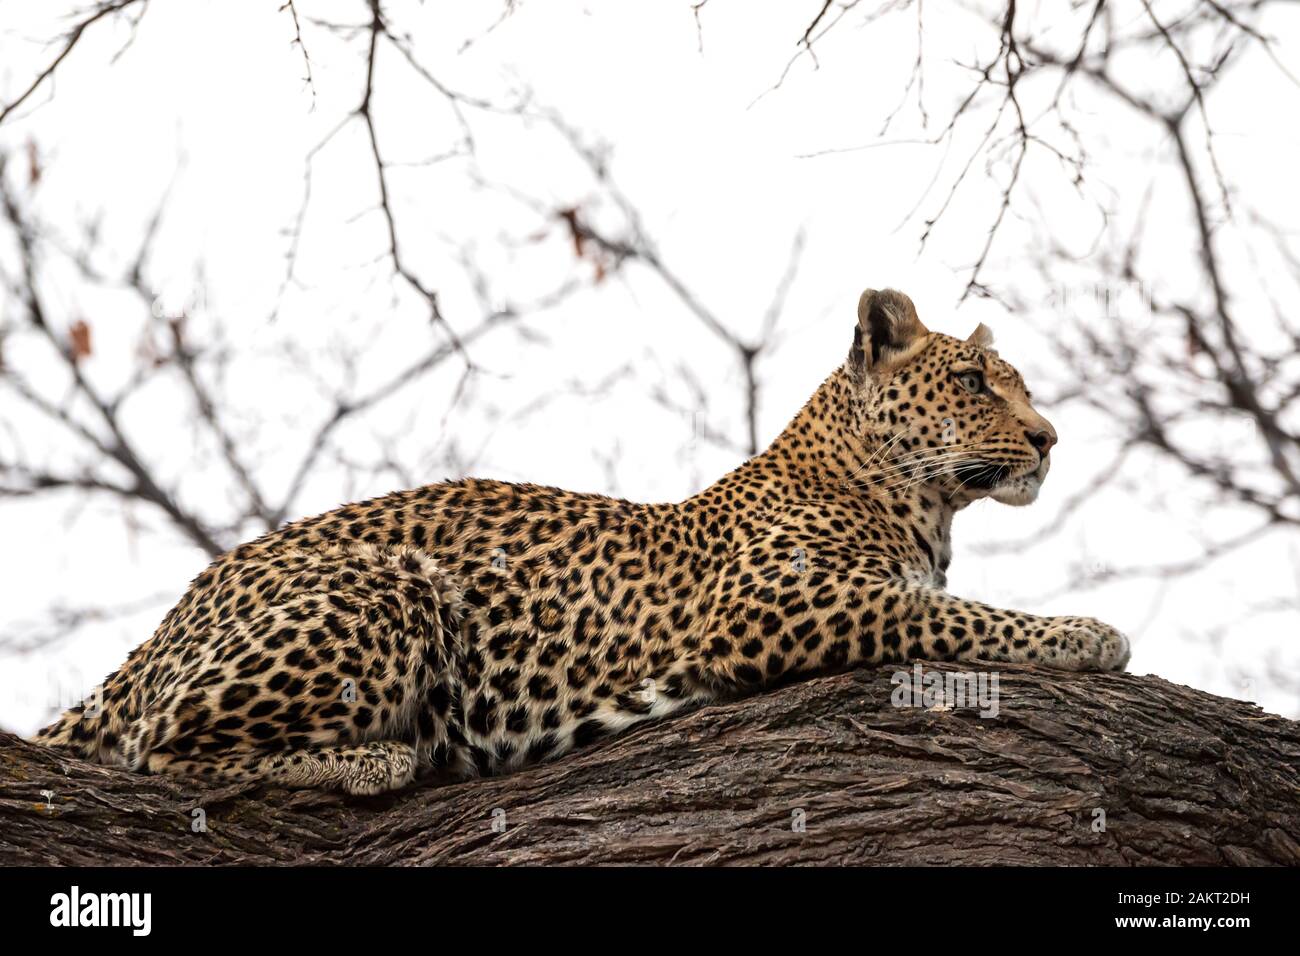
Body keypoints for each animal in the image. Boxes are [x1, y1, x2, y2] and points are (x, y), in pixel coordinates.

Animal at [35, 288, 1130, 794]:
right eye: (976, 383)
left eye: (1019, 385)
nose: (1049, 438)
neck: (917, 505)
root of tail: (170, 617)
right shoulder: (777, 606)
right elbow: (959, 614)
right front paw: (1086, 633)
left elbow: (951, 604)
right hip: (387, 587)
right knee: (158, 748)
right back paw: (378, 759)